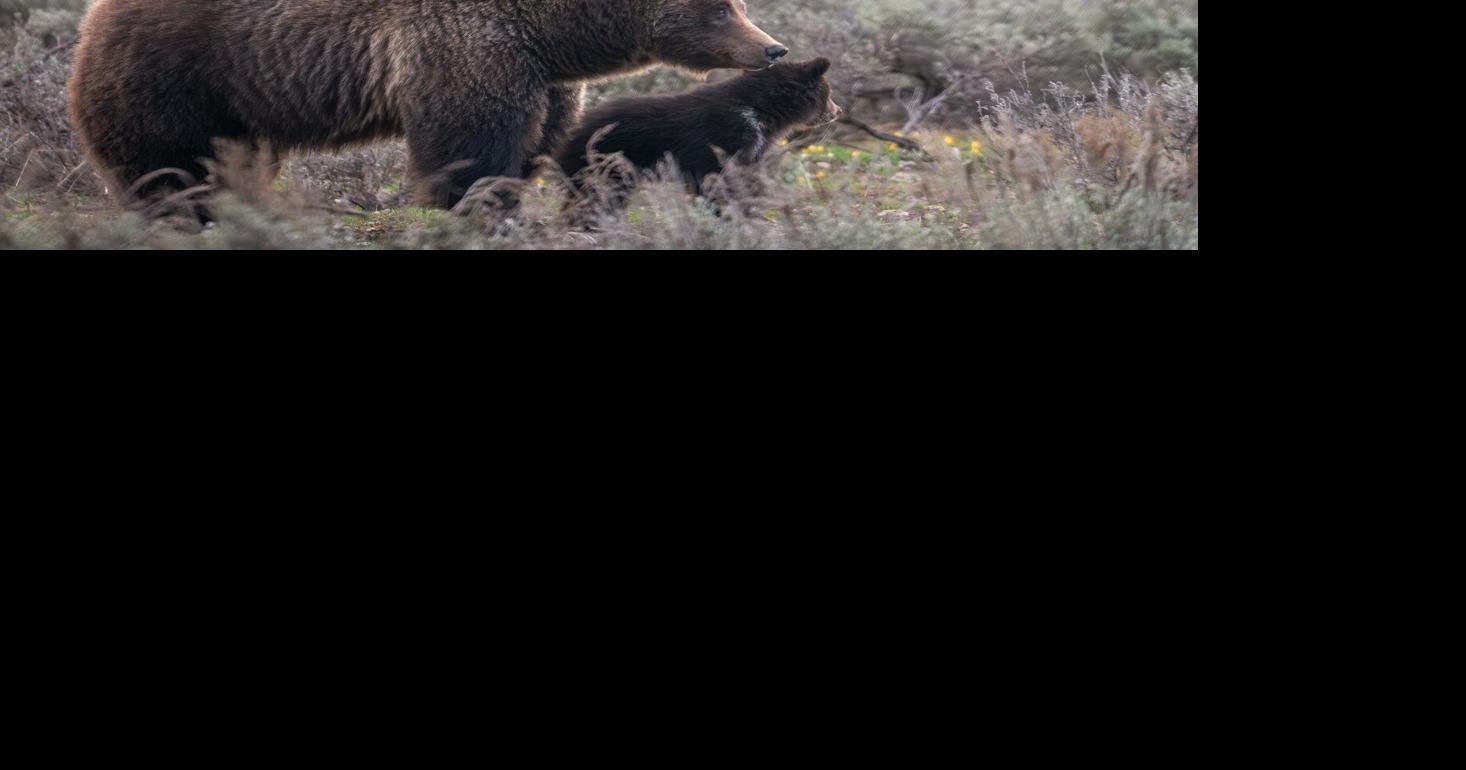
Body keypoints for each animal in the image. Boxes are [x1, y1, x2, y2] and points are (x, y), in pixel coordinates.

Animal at [66, 0, 789, 210]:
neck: (552, 30)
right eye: (720, 10)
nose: (773, 48)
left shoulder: (544, 75)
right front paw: (477, 203)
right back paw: (185, 209)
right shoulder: (464, 45)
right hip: (182, 69)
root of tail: (91, 18)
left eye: (737, 3)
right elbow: (468, 143)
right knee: (169, 160)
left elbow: (540, 138)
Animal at [554, 57, 839, 200]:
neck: (762, 112)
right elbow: (714, 176)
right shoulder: (725, 133)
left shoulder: (752, 145)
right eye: (828, 93)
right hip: (608, 160)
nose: (837, 111)